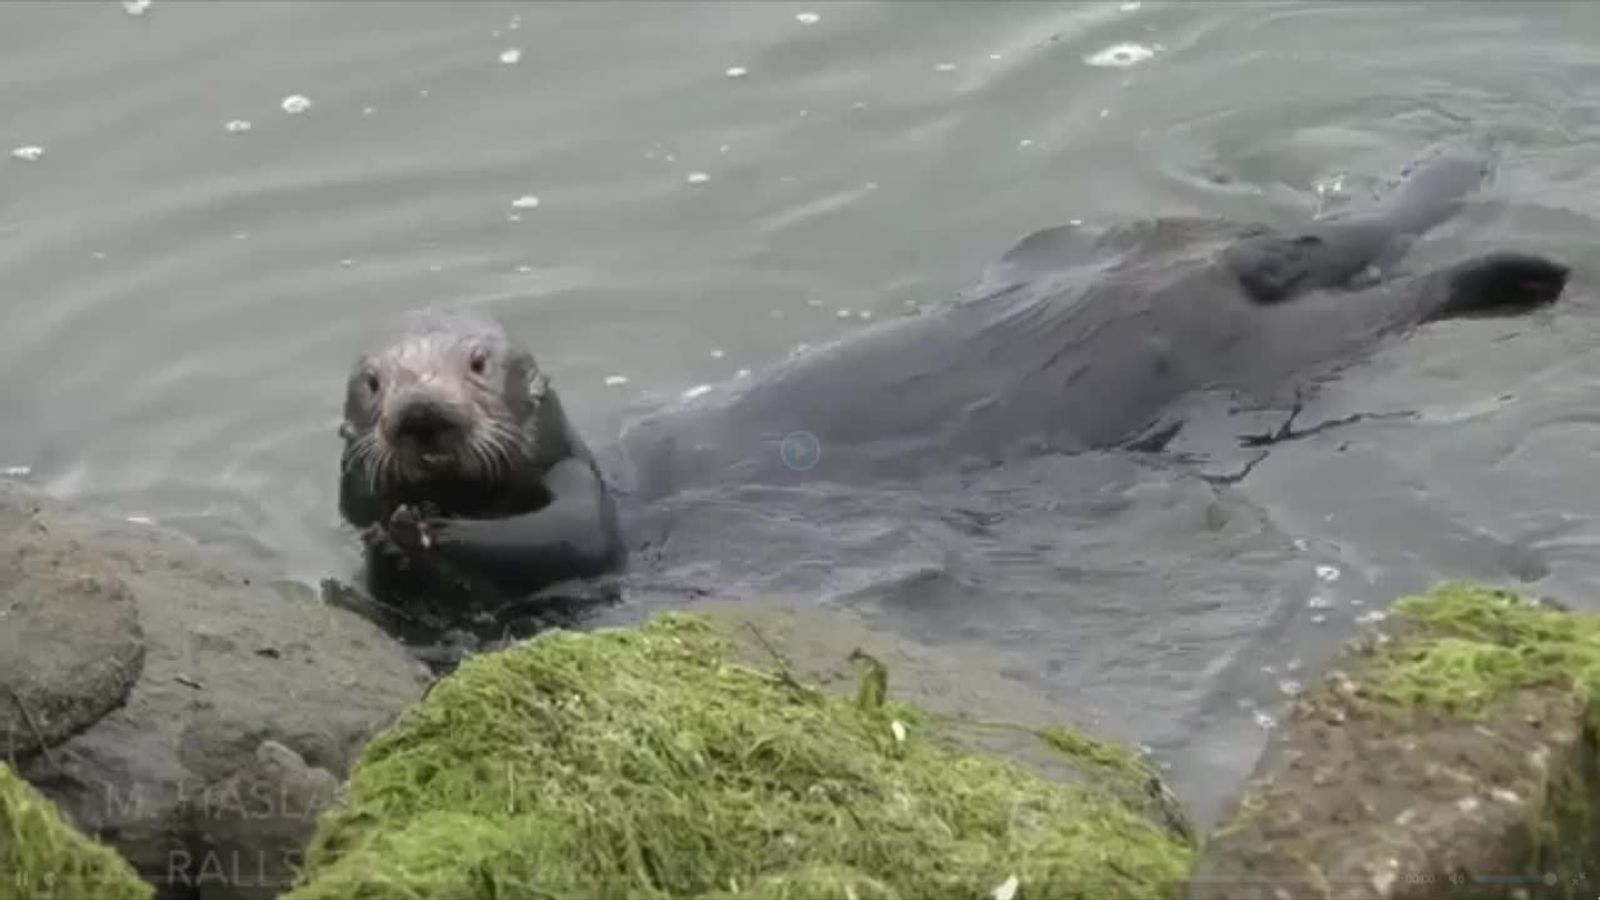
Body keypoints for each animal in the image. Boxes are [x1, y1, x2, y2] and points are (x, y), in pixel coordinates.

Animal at [337, 145, 1569, 607]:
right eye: (370, 383)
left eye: (479, 362)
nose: (424, 416)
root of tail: (1231, 259)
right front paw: (393, 526)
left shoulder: (594, 507)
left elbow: (572, 543)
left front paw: (424, 530)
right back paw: (1467, 186)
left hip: (1274, 336)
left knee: (1398, 286)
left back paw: (1524, 265)